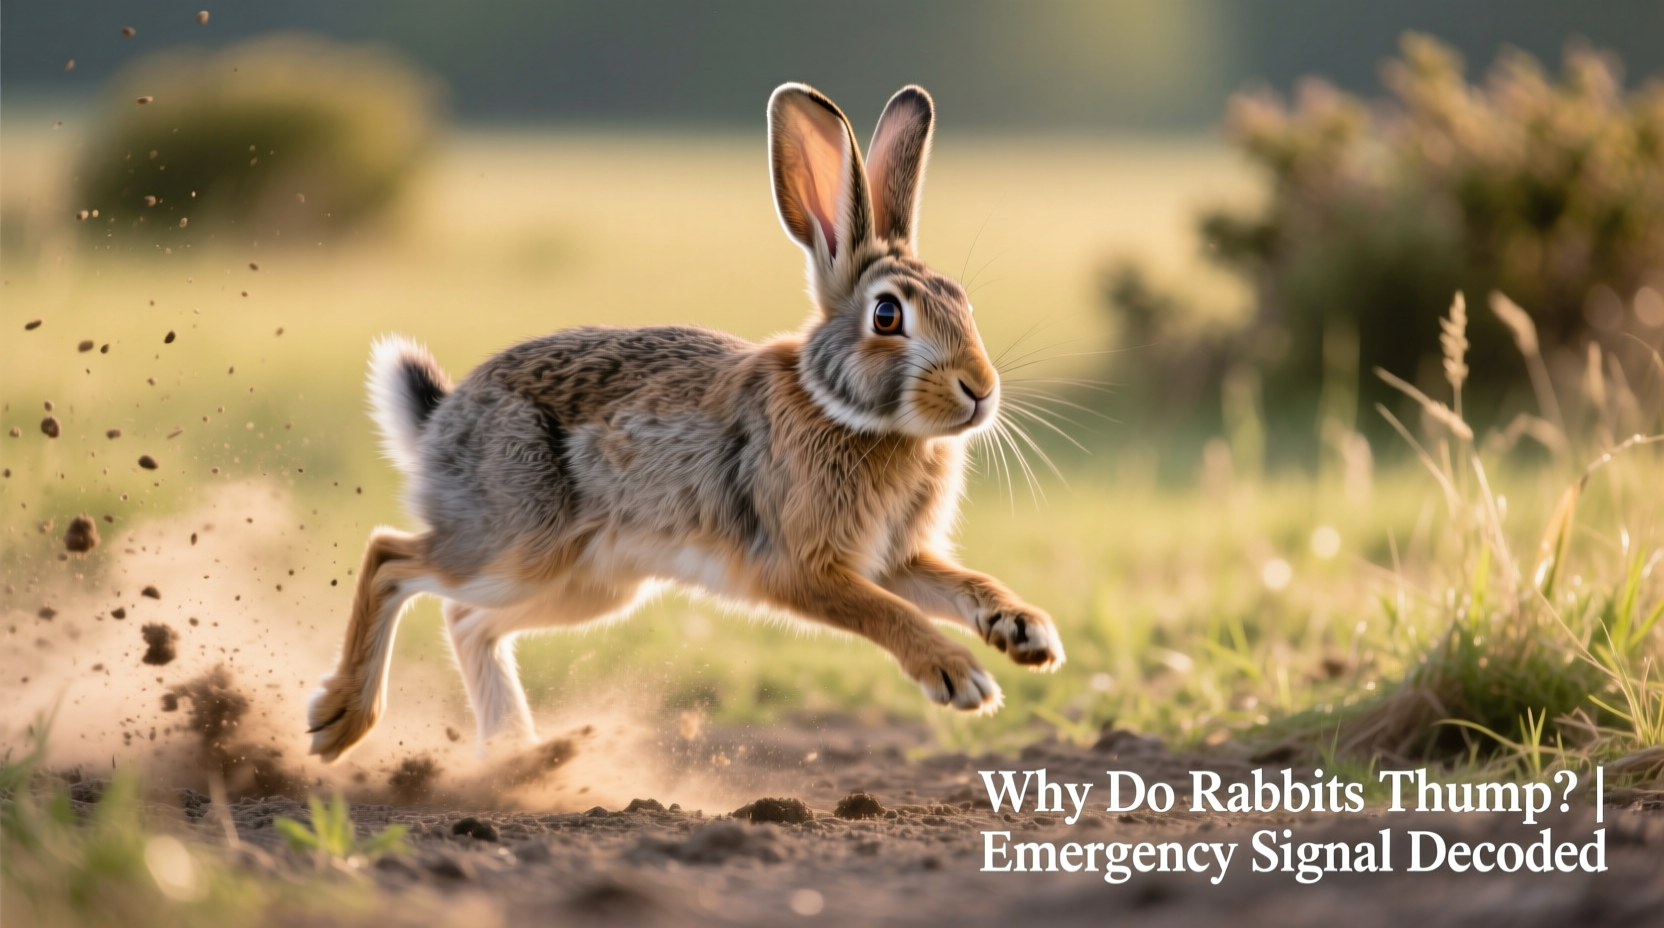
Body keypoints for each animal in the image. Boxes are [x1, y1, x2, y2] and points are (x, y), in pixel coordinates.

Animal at [306, 83, 1065, 762]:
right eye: (887, 315)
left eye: (963, 303)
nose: (980, 390)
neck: (846, 411)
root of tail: (439, 423)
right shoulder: (802, 567)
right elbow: (885, 611)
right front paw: (956, 673)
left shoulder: (895, 558)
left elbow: (958, 584)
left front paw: (1026, 632)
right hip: (515, 544)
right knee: (392, 558)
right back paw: (341, 721)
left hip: (587, 584)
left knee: (467, 620)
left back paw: (521, 758)